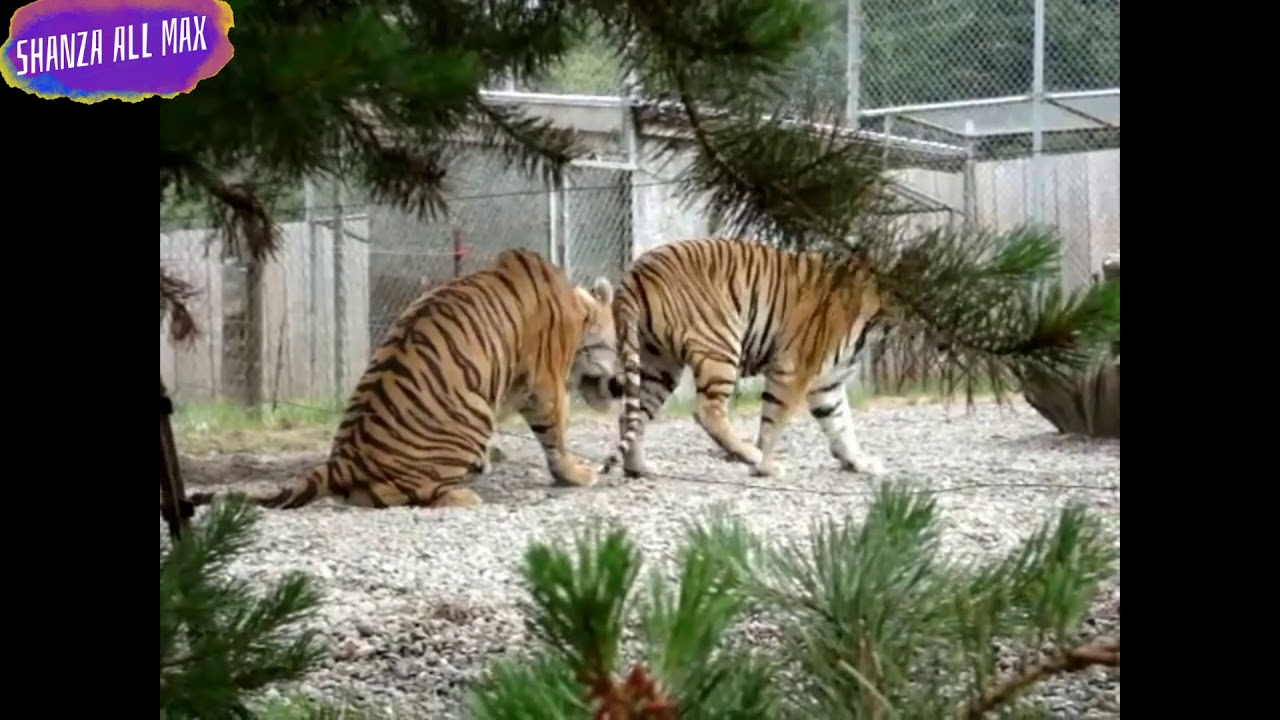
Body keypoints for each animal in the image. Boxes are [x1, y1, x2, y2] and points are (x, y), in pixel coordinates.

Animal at [188, 247, 618, 510]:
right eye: (617, 341)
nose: (617, 384)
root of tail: (341, 460)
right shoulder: (546, 385)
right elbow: (556, 436)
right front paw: (577, 474)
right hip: (474, 410)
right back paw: (465, 494)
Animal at [601, 236, 918, 481]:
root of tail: (635, 273)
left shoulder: (827, 384)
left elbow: (841, 425)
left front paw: (859, 462)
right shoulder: (792, 372)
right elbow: (773, 424)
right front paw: (765, 466)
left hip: (658, 363)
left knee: (632, 415)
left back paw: (639, 469)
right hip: (721, 345)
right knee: (707, 411)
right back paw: (749, 455)